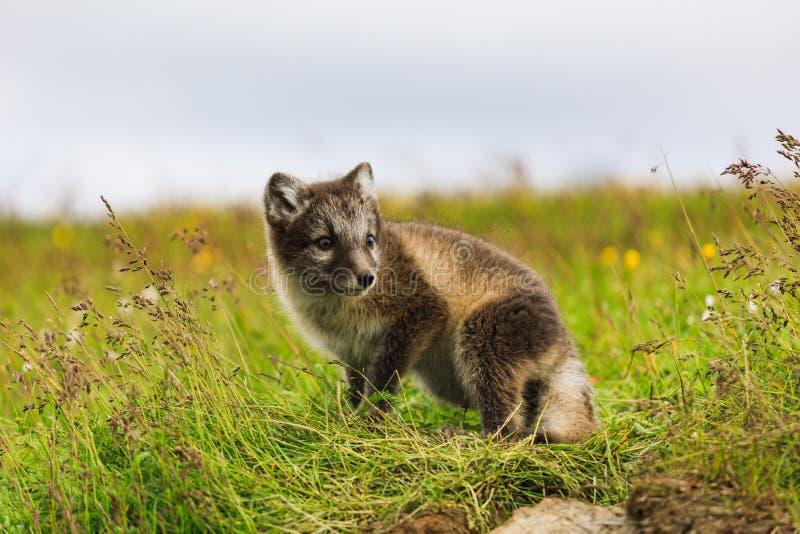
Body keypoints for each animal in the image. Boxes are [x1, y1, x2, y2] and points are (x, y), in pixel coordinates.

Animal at [262, 162, 598, 443]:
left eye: (369, 240)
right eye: (324, 242)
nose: (368, 278)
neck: (335, 307)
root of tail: (563, 338)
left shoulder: (425, 309)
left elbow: (383, 377)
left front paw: (371, 419)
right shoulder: (351, 351)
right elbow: (358, 386)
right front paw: (353, 417)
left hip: (481, 336)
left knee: (507, 431)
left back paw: (469, 438)